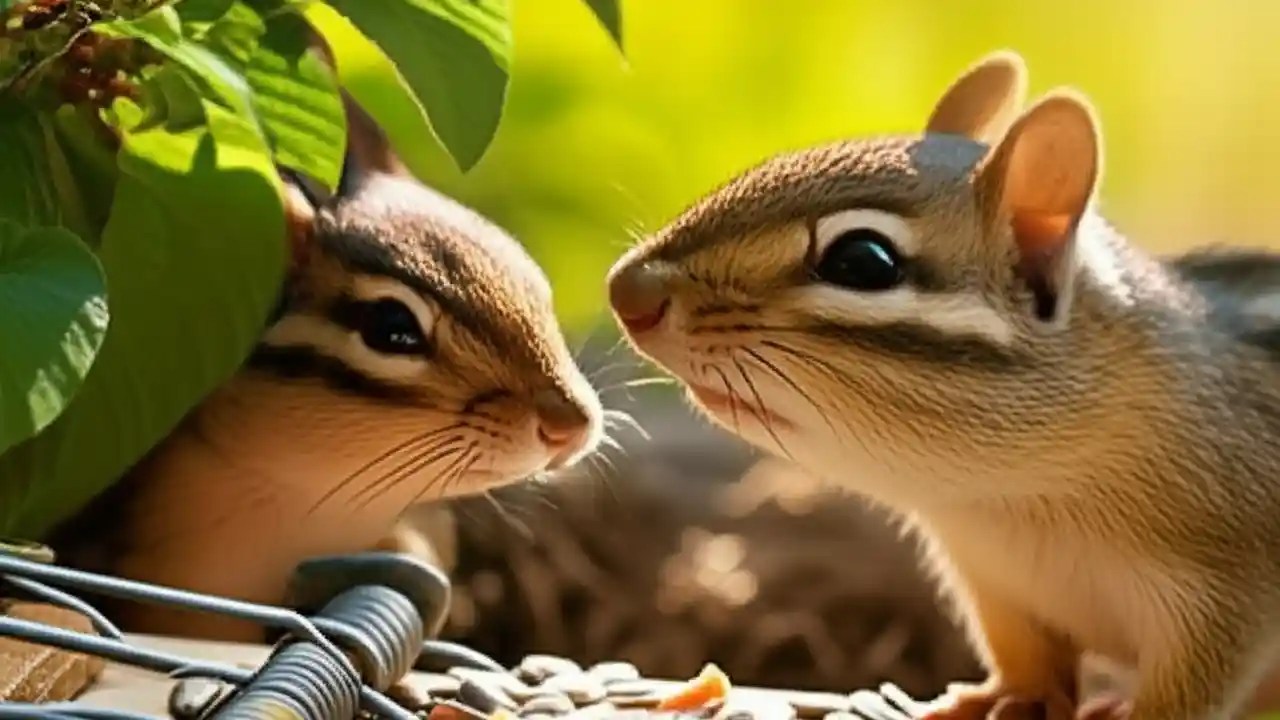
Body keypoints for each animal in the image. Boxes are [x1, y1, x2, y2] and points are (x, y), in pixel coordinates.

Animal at [606, 50, 1280, 720]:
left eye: (862, 261)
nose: (624, 291)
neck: (1012, 503)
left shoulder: (1226, 602)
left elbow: (1190, 691)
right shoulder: (993, 583)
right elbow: (1026, 660)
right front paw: (999, 698)